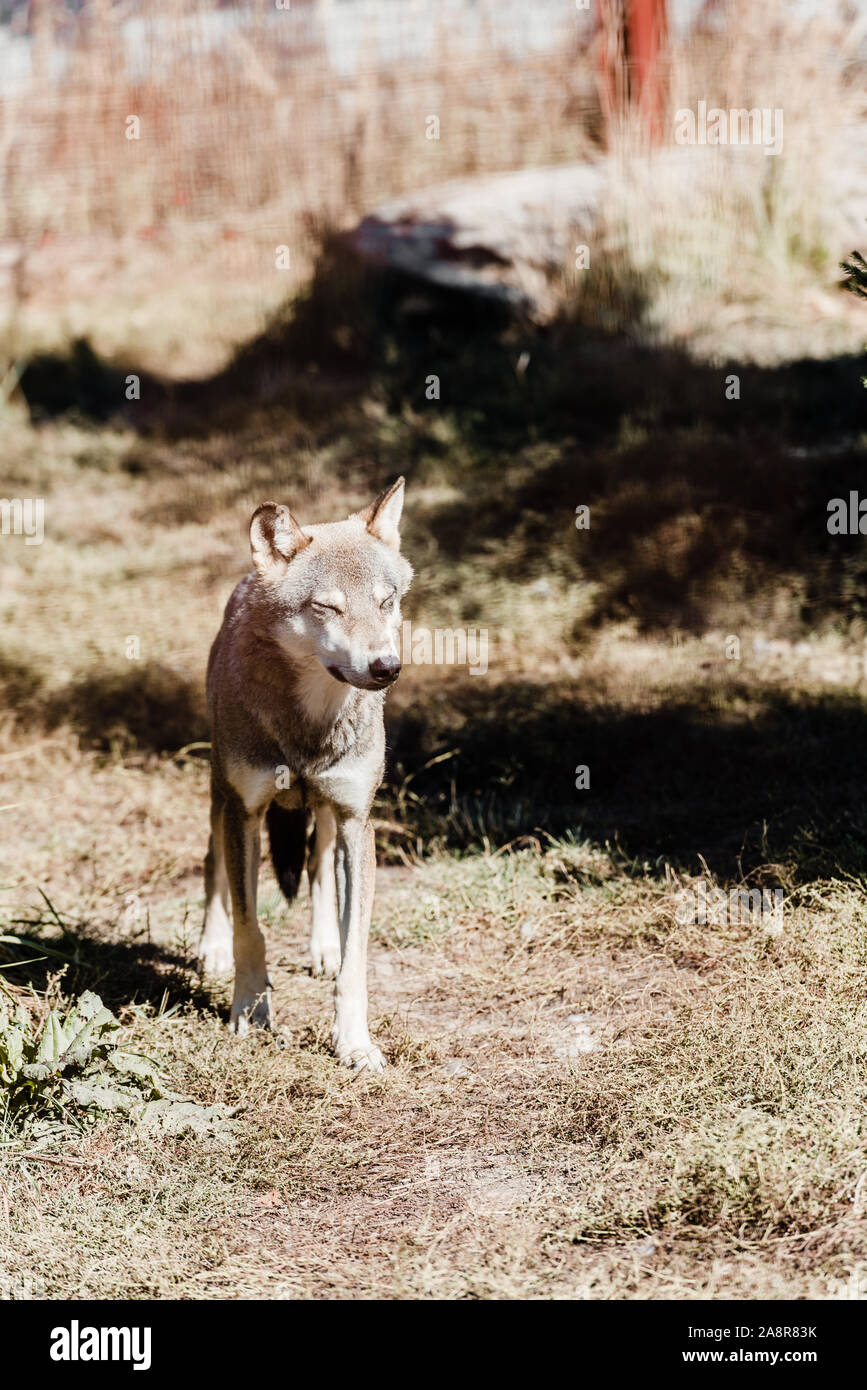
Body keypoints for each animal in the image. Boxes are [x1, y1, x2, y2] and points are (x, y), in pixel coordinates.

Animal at [196, 478, 411, 1072]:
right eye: (327, 607)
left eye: (386, 602)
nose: (387, 667)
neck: (308, 728)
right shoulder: (245, 813)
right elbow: (251, 931)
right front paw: (251, 1016)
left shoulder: (358, 819)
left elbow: (356, 957)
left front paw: (354, 1043)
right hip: (218, 798)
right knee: (212, 865)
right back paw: (210, 948)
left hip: (329, 816)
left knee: (317, 868)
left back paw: (323, 948)